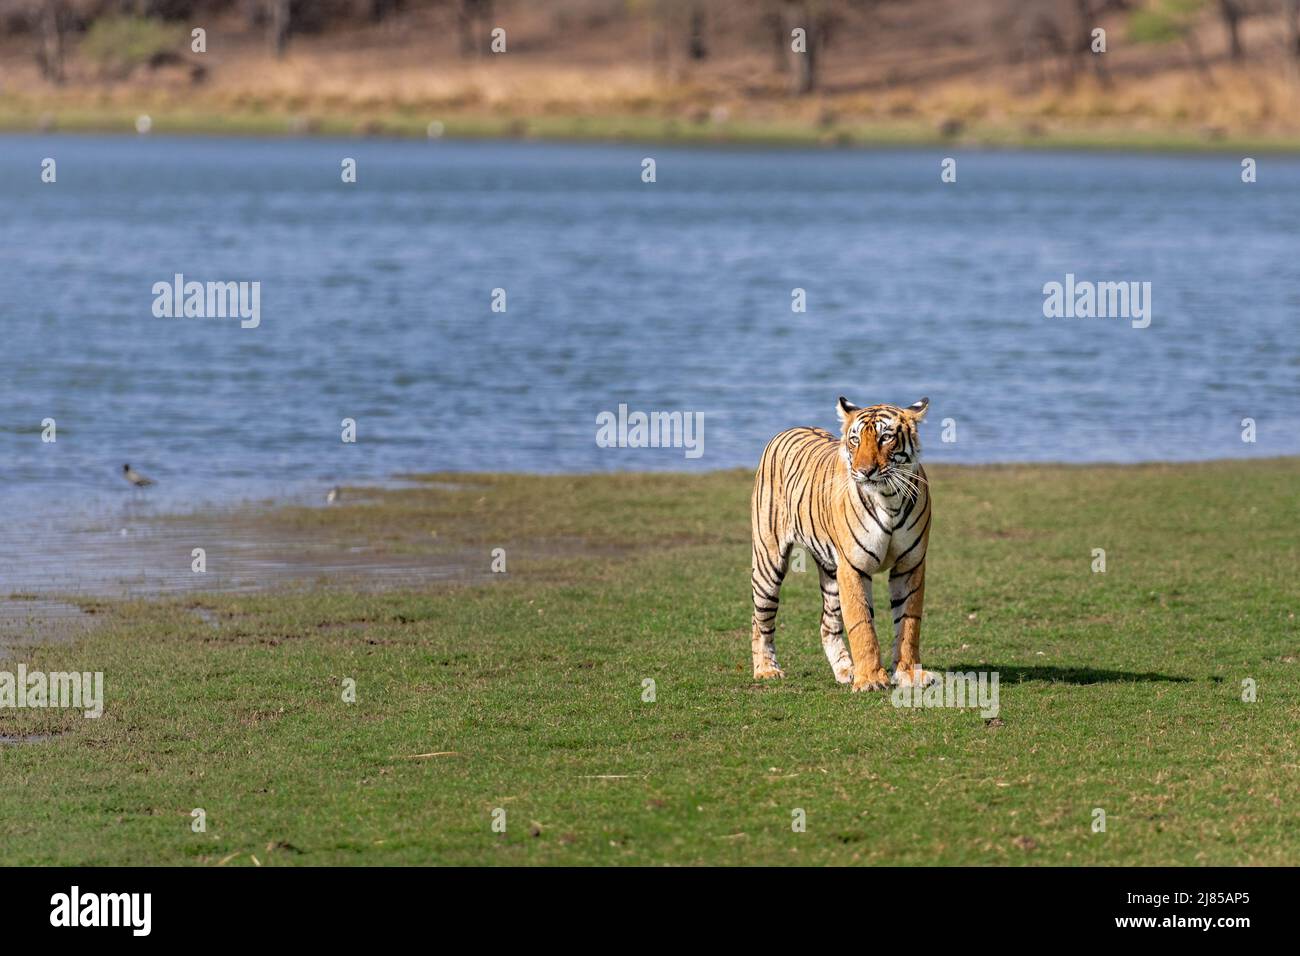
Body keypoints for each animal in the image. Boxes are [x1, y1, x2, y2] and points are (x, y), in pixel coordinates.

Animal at [750, 396, 936, 693]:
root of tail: (789, 429)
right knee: (760, 621)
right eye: (855, 440)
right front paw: (870, 679)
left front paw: (908, 674)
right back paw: (767, 670)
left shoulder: (911, 564)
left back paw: (846, 670)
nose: (865, 472)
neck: (889, 499)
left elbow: (909, 623)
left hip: (830, 573)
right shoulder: (853, 566)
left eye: (885, 437)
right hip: (769, 562)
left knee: (827, 624)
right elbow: (862, 624)